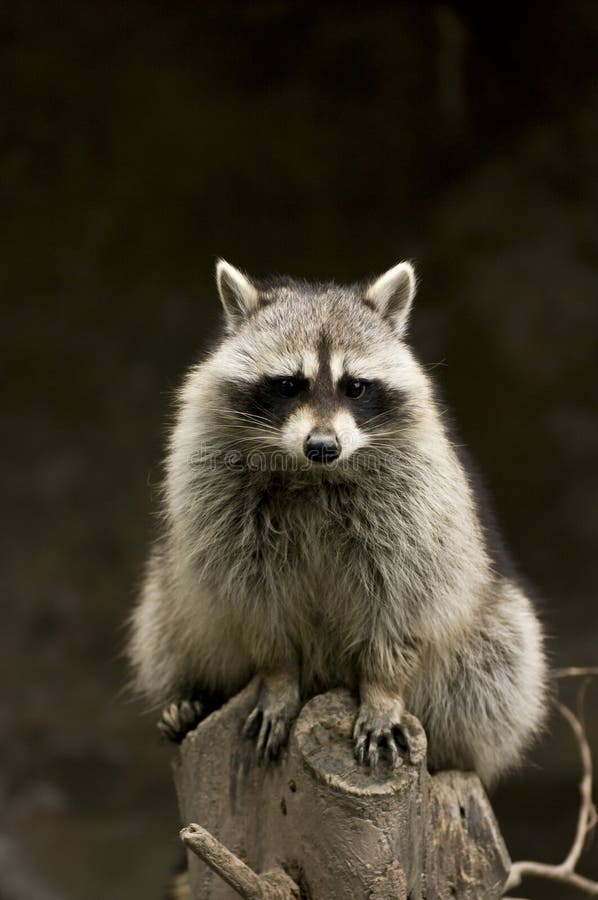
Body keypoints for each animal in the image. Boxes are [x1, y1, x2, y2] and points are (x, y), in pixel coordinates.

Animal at [129, 259, 547, 786]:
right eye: (289, 384)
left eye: (356, 386)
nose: (323, 446)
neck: (312, 473)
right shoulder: (217, 505)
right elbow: (252, 601)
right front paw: (278, 676)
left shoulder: (418, 510)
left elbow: (405, 603)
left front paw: (383, 690)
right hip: (170, 595)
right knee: (166, 615)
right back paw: (194, 700)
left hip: (491, 622)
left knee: (500, 659)